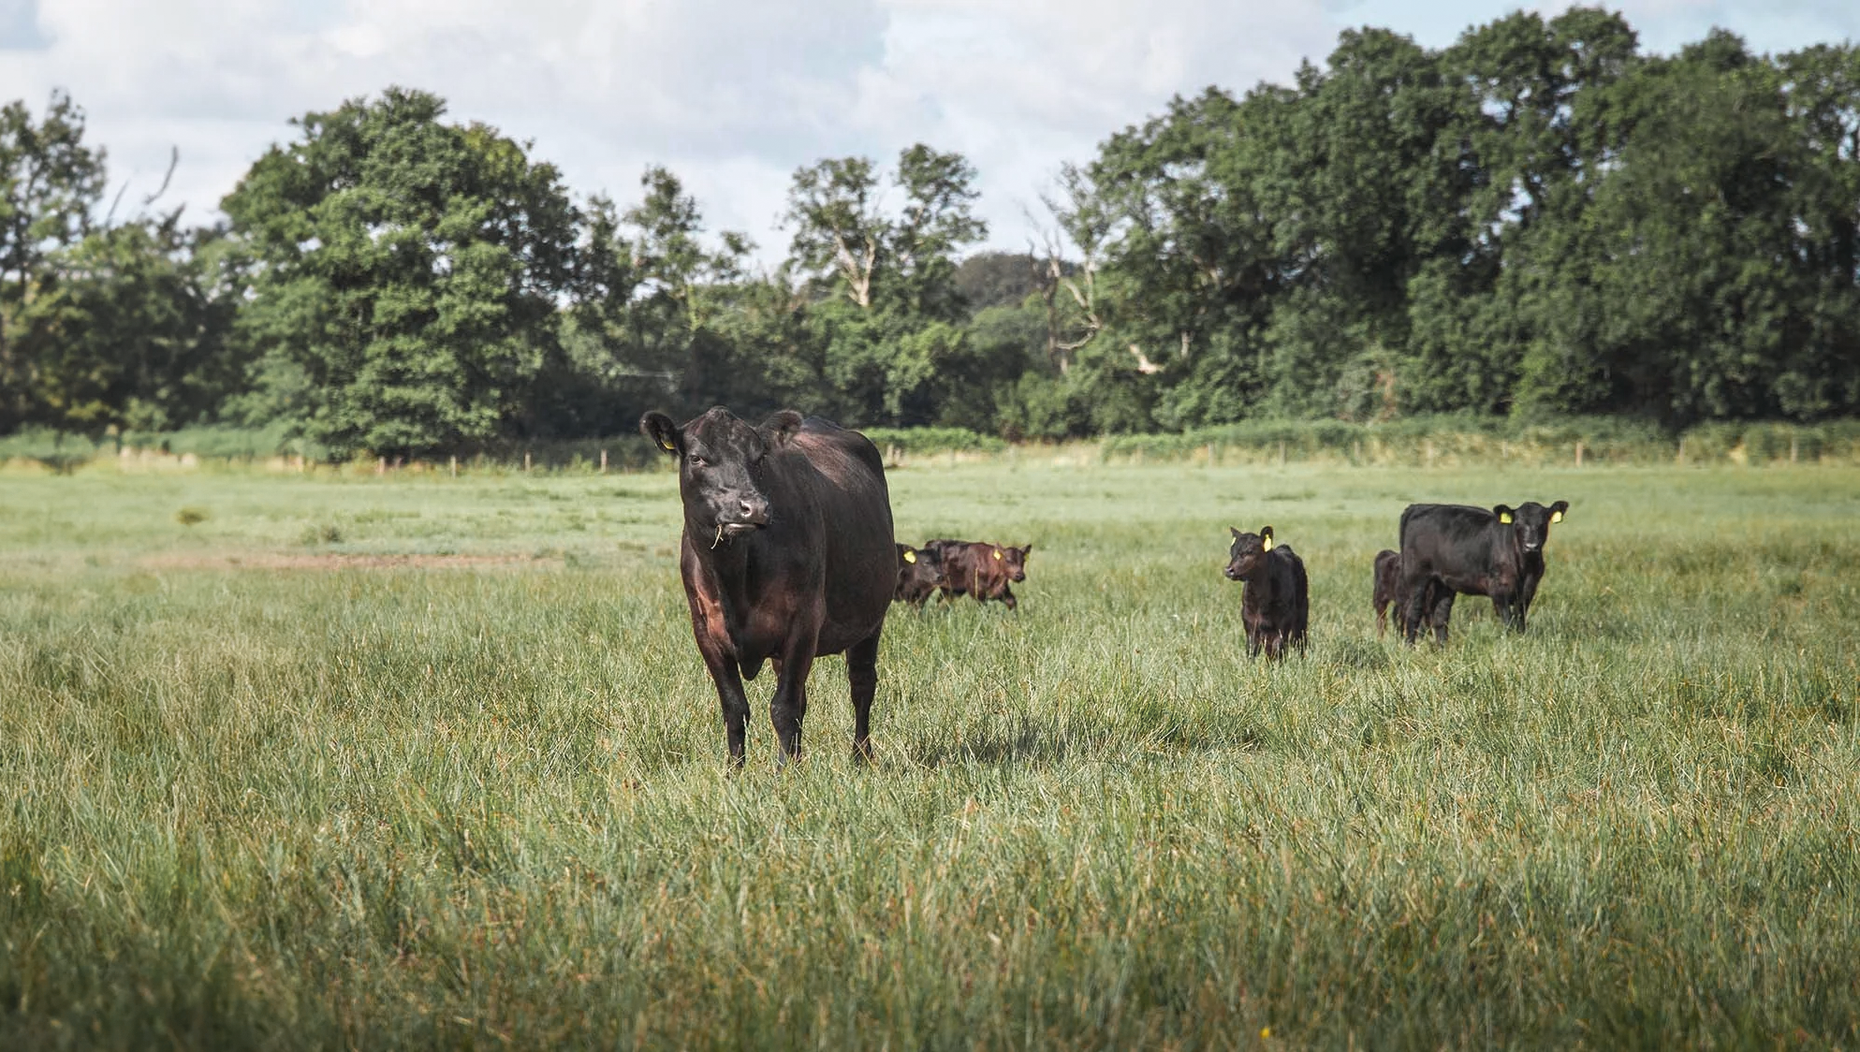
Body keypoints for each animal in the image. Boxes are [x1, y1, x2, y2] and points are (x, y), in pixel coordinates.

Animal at [640, 406, 896, 766]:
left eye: (759, 457)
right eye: (697, 457)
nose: (753, 508)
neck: (734, 579)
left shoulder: (804, 620)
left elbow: (783, 708)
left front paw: (784, 772)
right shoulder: (704, 629)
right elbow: (735, 709)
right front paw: (735, 770)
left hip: (871, 620)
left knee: (861, 686)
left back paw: (861, 757)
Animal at [1224, 526, 1309, 659]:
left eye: (1250, 551)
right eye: (1231, 551)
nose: (1228, 570)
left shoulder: (1284, 620)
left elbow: (1279, 647)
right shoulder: (1249, 620)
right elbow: (1251, 649)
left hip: (1302, 612)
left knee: (1299, 640)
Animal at [1397, 500, 1569, 645]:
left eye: (1542, 523)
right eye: (1518, 524)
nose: (1531, 546)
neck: (1524, 566)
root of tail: (1417, 507)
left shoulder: (1528, 590)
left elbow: (1520, 620)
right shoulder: (1498, 589)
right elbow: (1508, 621)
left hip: (1444, 582)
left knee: (1440, 615)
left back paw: (1443, 649)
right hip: (1416, 577)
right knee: (1413, 612)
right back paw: (1410, 649)